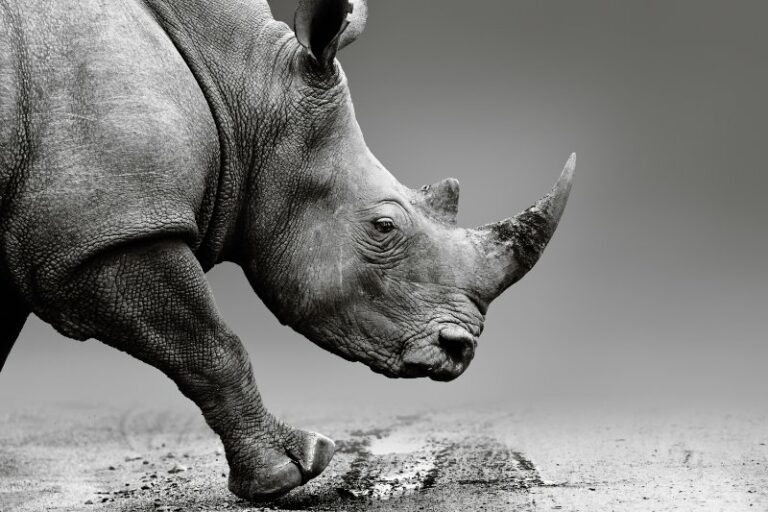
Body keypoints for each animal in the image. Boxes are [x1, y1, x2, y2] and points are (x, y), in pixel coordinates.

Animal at [0, 0, 574, 502]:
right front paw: (293, 471)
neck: (244, 88)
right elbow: (209, 346)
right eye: (384, 226)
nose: (461, 350)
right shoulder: (108, 233)